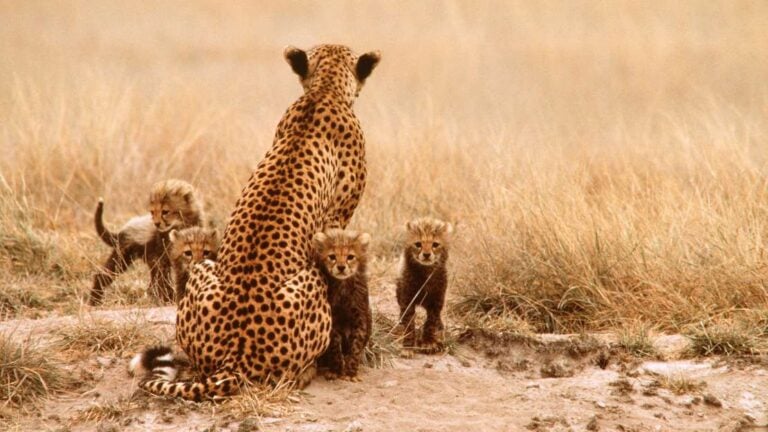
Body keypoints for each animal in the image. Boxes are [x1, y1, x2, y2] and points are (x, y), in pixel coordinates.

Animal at [313, 228, 372, 382]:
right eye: (332, 256)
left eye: (350, 257)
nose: (341, 267)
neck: (343, 284)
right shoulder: (333, 318)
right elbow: (334, 346)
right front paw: (336, 369)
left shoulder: (360, 318)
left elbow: (356, 346)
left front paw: (351, 372)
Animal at [395, 217, 453, 356]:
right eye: (418, 244)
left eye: (435, 244)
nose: (426, 254)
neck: (426, 271)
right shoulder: (408, 299)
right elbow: (409, 323)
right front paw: (408, 346)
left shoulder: (436, 300)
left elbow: (431, 321)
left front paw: (428, 342)